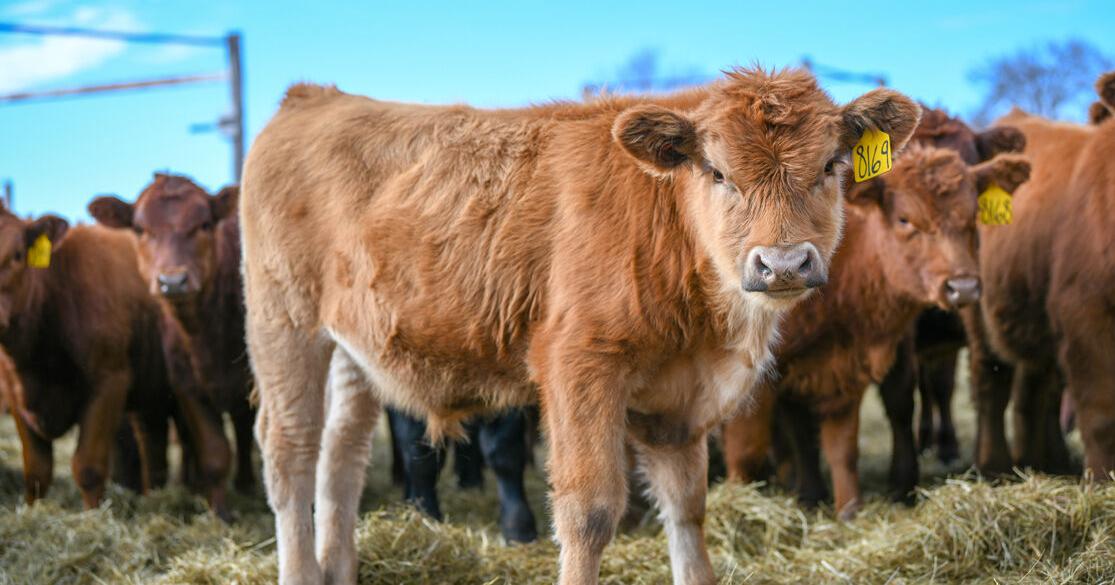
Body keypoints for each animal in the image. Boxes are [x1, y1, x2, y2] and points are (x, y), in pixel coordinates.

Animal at [0, 210, 230, 515]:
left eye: (16, 255)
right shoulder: (15, 397)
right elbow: (37, 472)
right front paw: (34, 512)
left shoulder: (109, 381)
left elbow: (88, 466)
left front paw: (91, 517)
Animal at [239, 67, 920, 585]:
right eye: (718, 173)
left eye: (830, 166)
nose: (782, 263)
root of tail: (312, 97)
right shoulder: (578, 367)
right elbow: (589, 514)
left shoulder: (679, 403)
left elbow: (688, 510)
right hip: (284, 325)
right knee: (290, 450)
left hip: (352, 351)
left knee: (340, 457)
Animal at [722, 146, 1031, 519]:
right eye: (904, 219)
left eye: (974, 217)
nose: (964, 287)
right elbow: (747, 453)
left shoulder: (837, 368)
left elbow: (841, 448)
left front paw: (847, 511)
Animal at [971, 72, 1115, 480]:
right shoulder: (1084, 312)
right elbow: (1101, 413)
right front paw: (1101, 481)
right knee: (992, 386)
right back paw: (994, 465)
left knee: (1032, 394)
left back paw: (1040, 461)